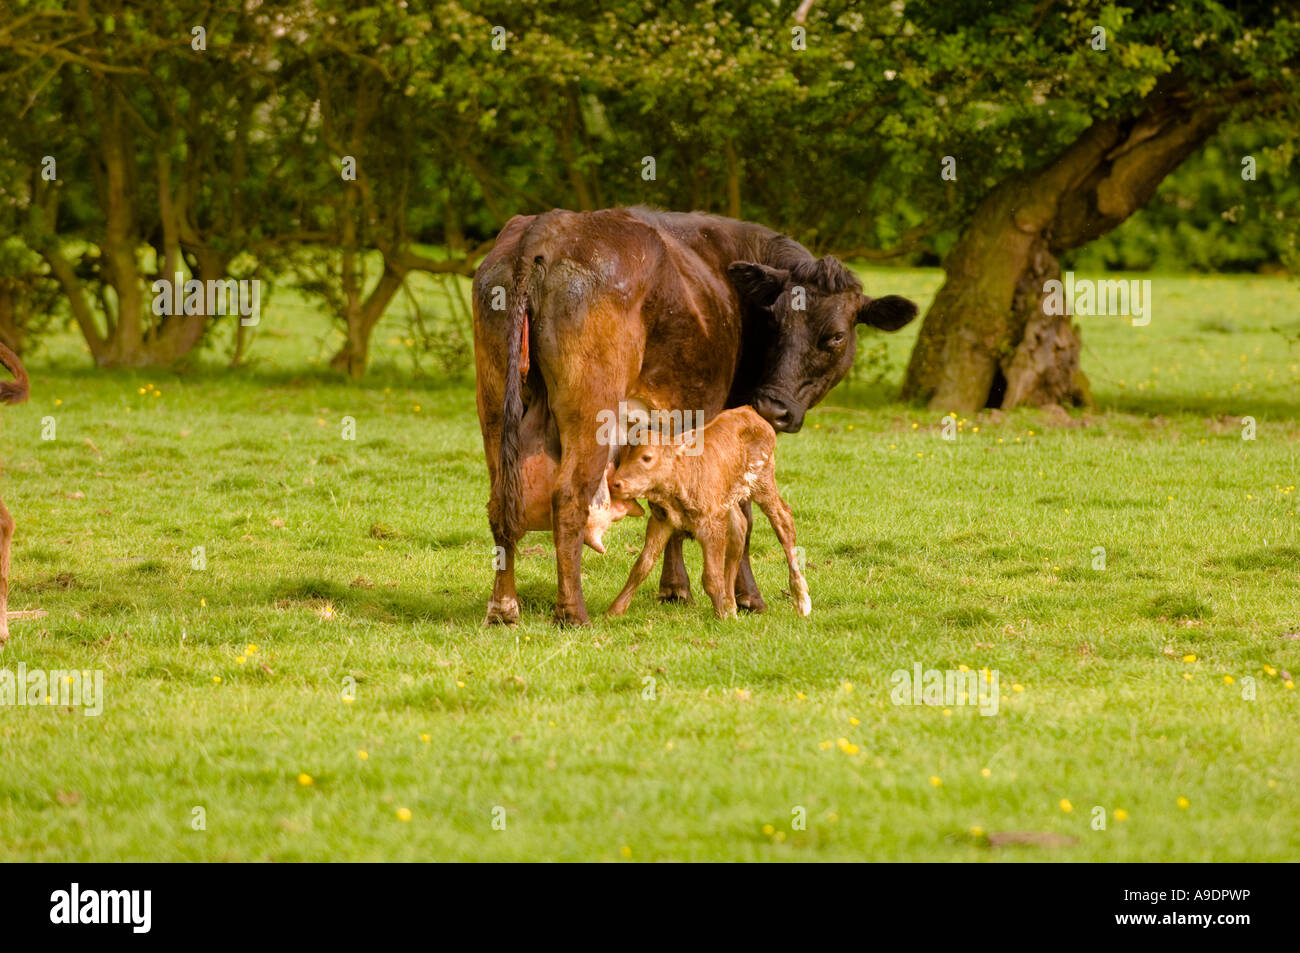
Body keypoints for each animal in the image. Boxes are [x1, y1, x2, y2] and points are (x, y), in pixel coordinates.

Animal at [606, 406, 810, 620]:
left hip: (763, 479)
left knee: (783, 519)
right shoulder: (661, 520)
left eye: (647, 457)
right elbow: (642, 566)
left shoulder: (711, 525)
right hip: (728, 498)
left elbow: (711, 576)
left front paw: (720, 616)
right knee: (740, 528)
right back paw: (731, 605)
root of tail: (750, 411)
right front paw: (614, 610)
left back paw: (801, 599)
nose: (615, 484)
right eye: (622, 456)